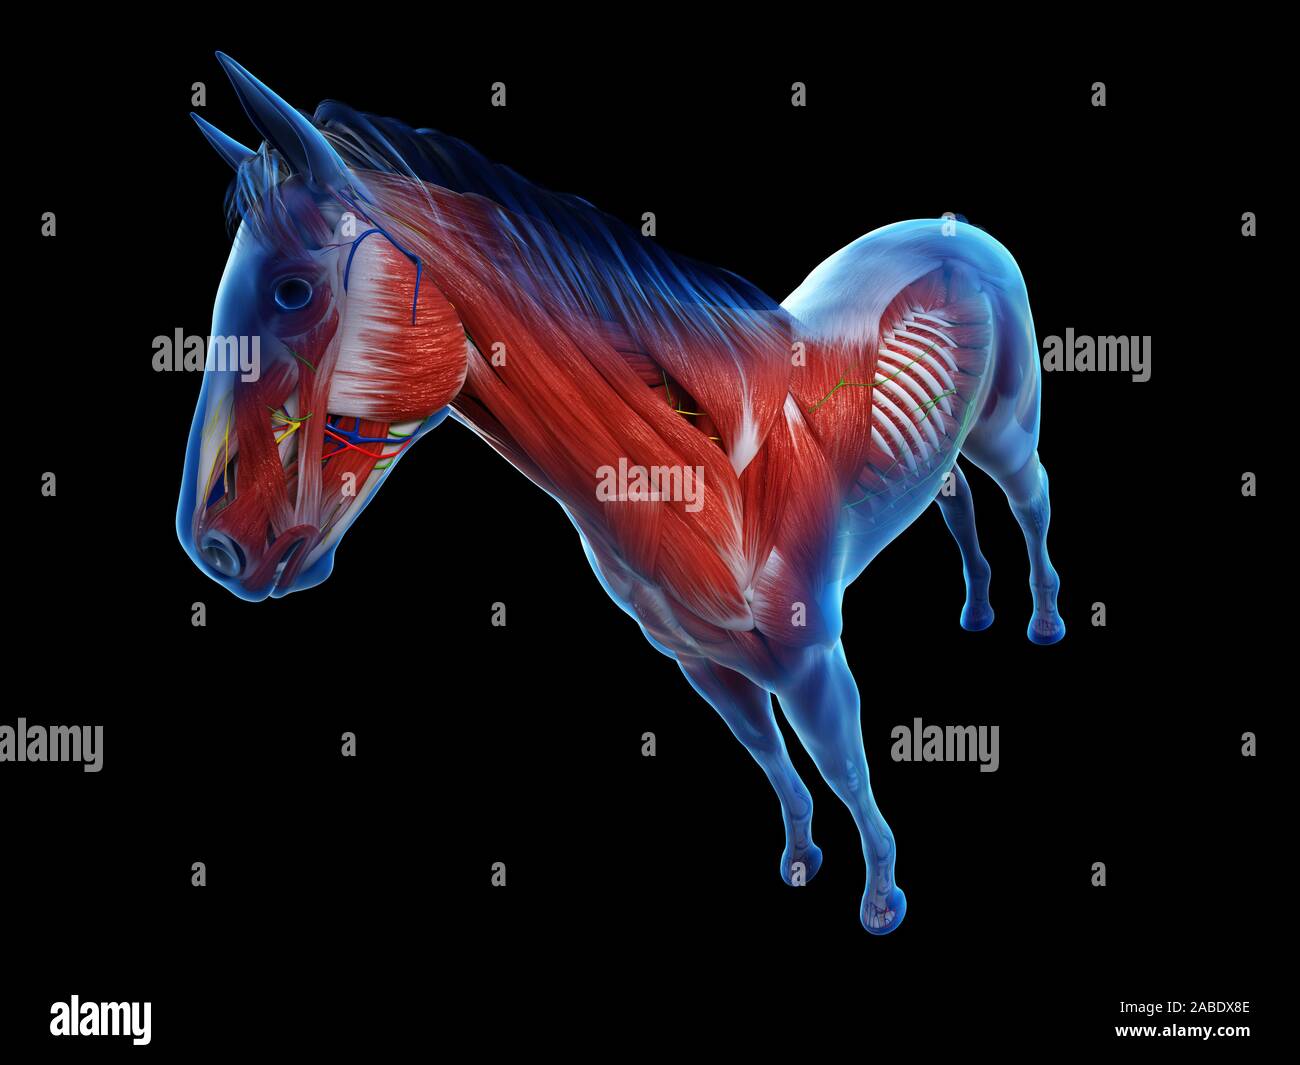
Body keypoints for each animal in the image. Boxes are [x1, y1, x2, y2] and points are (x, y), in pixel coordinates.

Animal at [178, 54, 1065, 934]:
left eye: (292, 292)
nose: (216, 545)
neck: (709, 473)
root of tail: (953, 227)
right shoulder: (699, 658)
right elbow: (770, 756)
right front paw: (800, 859)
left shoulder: (810, 655)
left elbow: (843, 762)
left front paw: (882, 900)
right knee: (953, 496)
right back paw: (976, 609)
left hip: (1006, 430)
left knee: (1030, 502)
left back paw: (1043, 621)